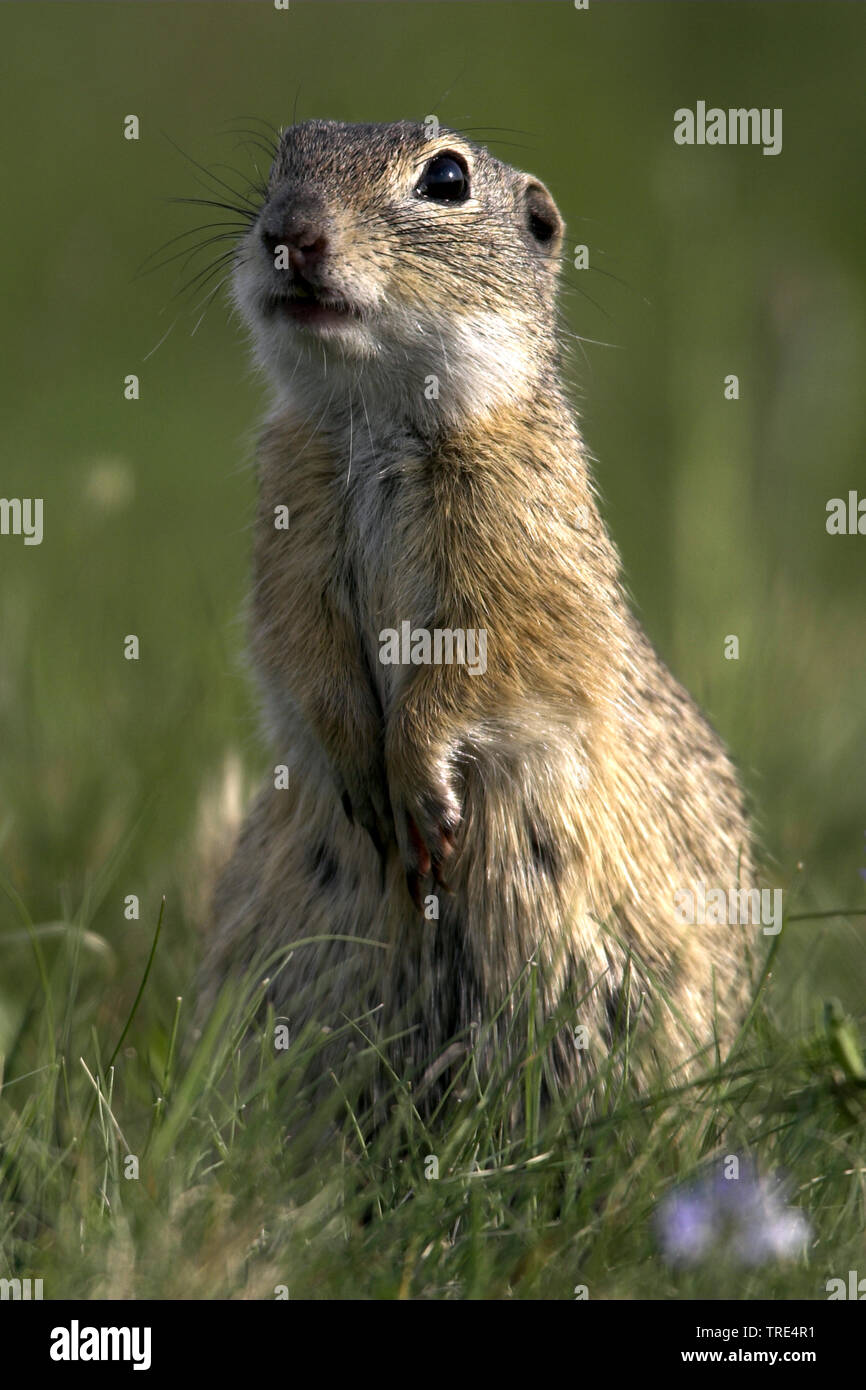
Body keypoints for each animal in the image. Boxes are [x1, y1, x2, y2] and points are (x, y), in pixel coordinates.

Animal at [197, 120, 756, 1106]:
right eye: (284, 156)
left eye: (448, 178)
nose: (290, 232)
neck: (377, 416)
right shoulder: (288, 526)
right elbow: (298, 643)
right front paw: (360, 768)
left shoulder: (518, 552)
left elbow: (489, 660)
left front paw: (418, 783)